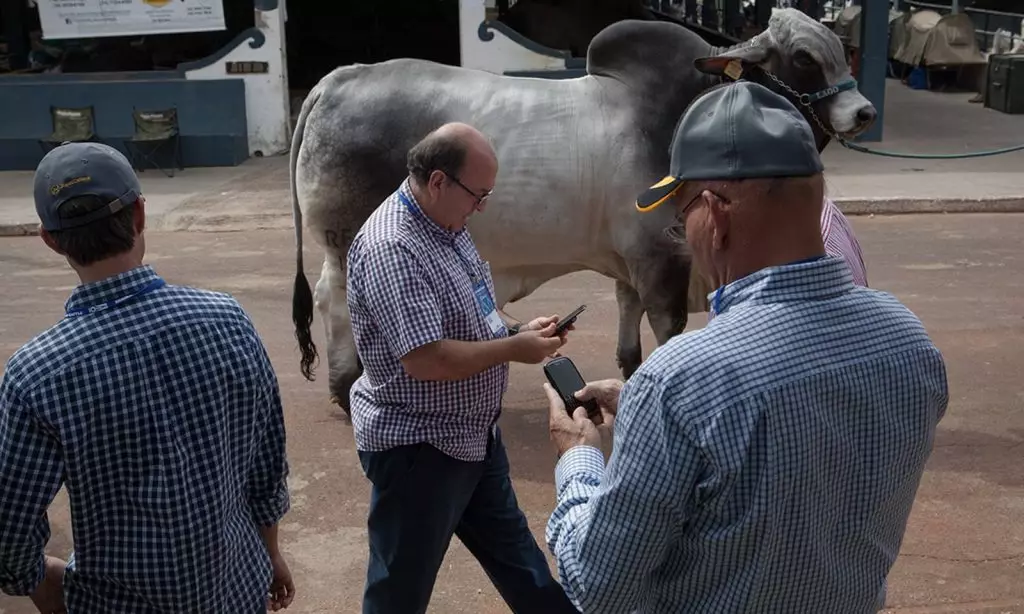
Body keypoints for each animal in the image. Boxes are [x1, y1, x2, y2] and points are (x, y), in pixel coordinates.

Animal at [288, 8, 872, 413]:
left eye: (839, 48)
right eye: (803, 57)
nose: (864, 112)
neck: (691, 112)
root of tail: (339, 79)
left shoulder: (630, 266)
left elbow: (629, 346)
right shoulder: (663, 260)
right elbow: (667, 333)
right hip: (349, 241)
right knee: (337, 304)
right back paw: (346, 388)